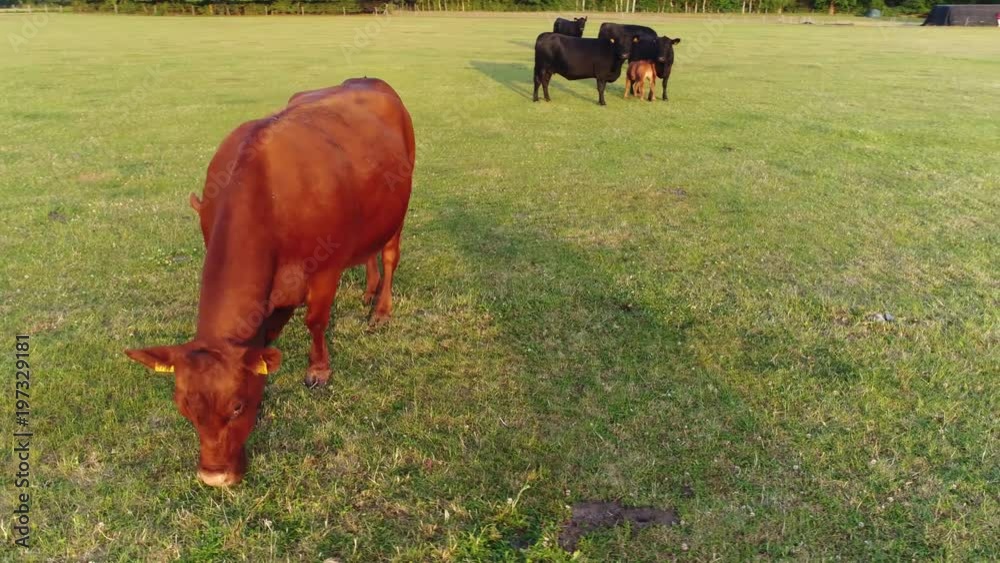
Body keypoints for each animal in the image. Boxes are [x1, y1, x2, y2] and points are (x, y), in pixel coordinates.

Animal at [126, 77, 415, 487]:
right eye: (184, 410)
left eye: (236, 407)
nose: (213, 477)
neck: (266, 196)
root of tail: (366, 80)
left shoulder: (325, 270)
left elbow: (315, 321)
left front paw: (318, 369)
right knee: (369, 252)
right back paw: (368, 289)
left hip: (398, 211)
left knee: (389, 254)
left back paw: (381, 308)